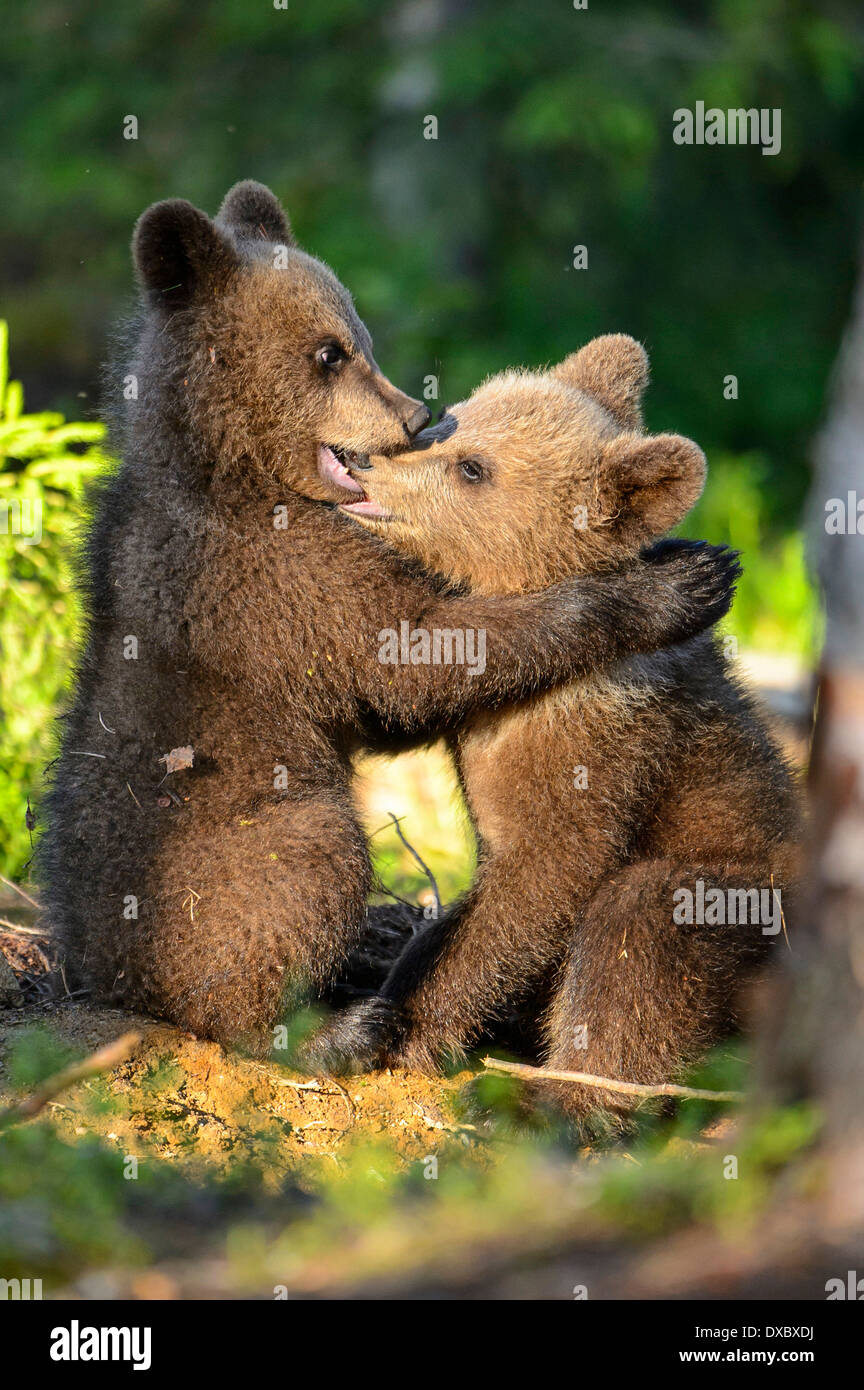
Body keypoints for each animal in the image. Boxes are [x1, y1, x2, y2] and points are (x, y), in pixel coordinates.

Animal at [37, 191, 738, 1054]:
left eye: (359, 336)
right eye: (328, 352)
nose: (414, 414)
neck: (229, 465)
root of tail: (103, 975)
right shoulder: (271, 577)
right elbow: (411, 657)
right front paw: (677, 583)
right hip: (215, 846)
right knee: (301, 865)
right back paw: (333, 1024)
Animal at [307, 334, 802, 1130]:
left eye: (473, 467)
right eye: (450, 418)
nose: (364, 461)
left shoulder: (597, 746)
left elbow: (548, 873)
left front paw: (417, 1028)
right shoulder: (477, 710)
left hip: (751, 907)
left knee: (643, 929)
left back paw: (550, 1097)